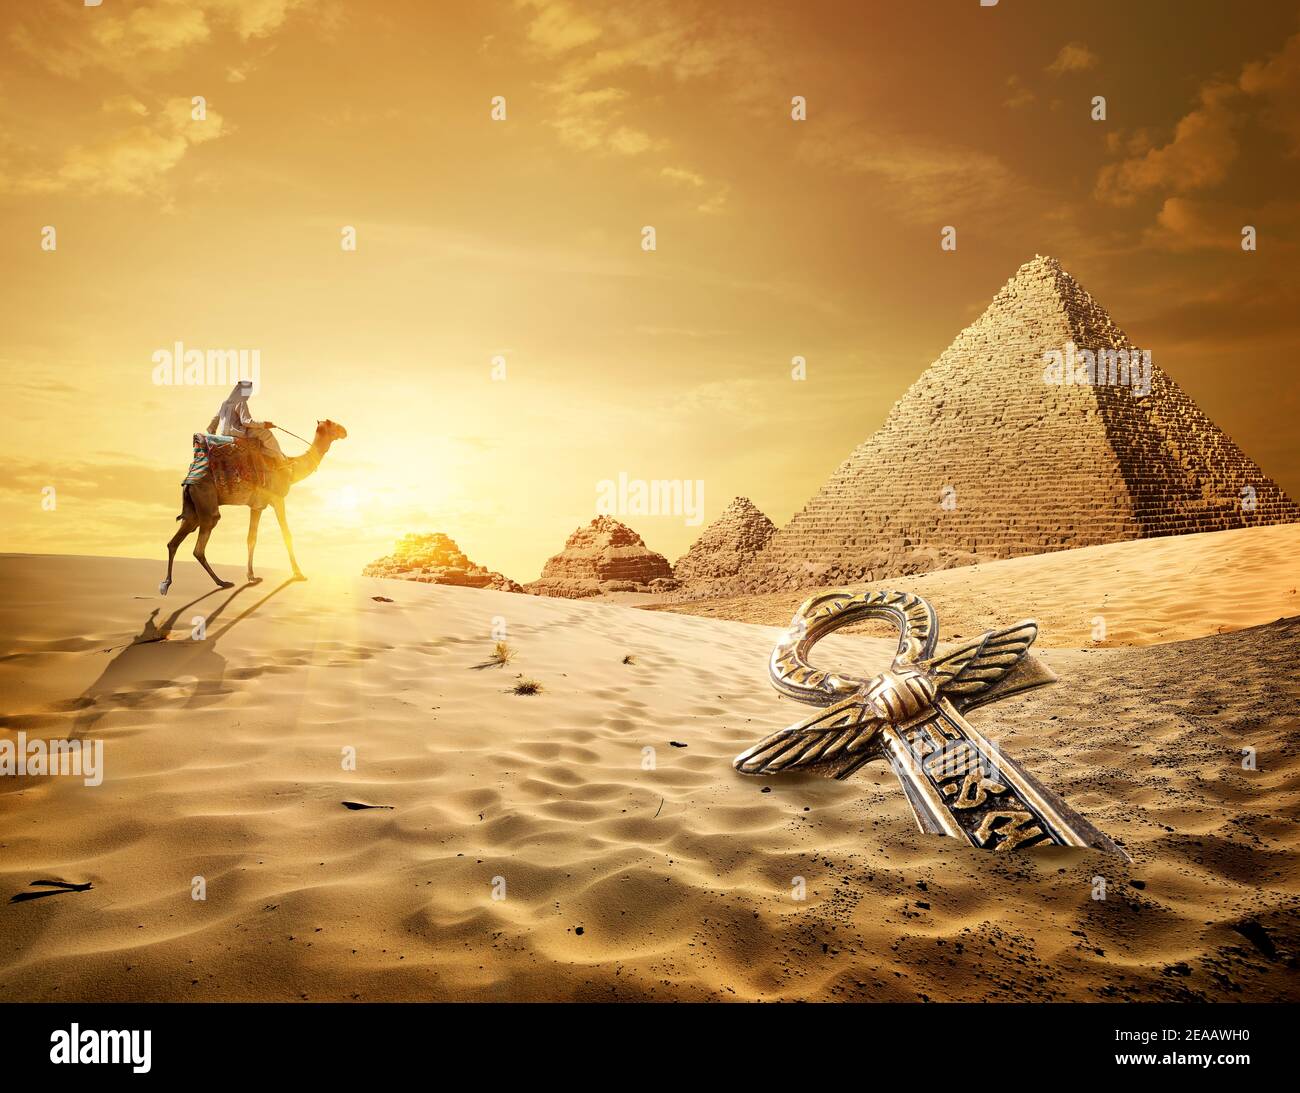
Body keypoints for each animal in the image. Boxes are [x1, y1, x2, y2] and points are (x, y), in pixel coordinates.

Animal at [161, 420, 348, 595]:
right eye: (333, 424)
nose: (345, 431)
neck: (290, 467)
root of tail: (189, 479)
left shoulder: (257, 506)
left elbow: (251, 538)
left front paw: (251, 576)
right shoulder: (278, 498)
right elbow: (286, 535)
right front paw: (299, 573)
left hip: (193, 508)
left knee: (174, 542)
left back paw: (167, 584)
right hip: (206, 502)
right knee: (199, 546)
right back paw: (222, 582)